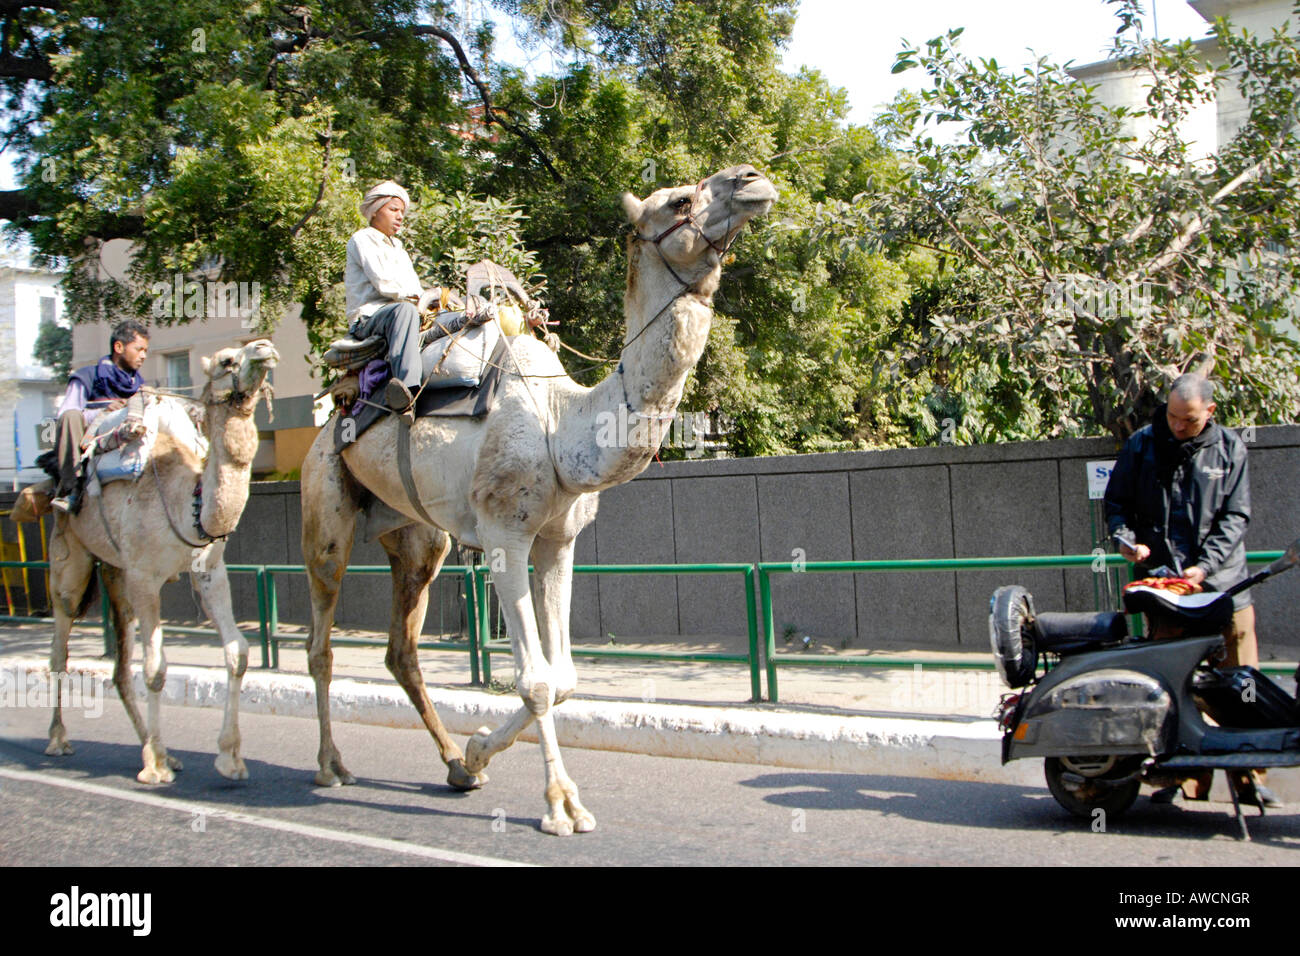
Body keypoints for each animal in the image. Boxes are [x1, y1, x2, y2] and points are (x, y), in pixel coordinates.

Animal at [46, 339, 279, 784]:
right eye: (226, 360)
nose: (265, 348)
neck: (188, 503)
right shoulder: (145, 577)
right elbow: (155, 668)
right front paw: (154, 769)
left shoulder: (210, 571)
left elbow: (238, 652)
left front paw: (230, 758)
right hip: (71, 559)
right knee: (60, 648)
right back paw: (59, 740)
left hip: (115, 574)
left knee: (120, 668)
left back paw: (159, 750)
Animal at [300, 164, 776, 834]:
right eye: (680, 201)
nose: (753, 179)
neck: (561, 423)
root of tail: (334, 406)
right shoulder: (505, 535)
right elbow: (536, 681)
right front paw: (561, 805)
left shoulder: (557, 540)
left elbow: (566, 676)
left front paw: (479, 750)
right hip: (326, 503)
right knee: (321, 640)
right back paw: (330, 765)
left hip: (417, 535)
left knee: (402, 649)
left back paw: (455, 765)